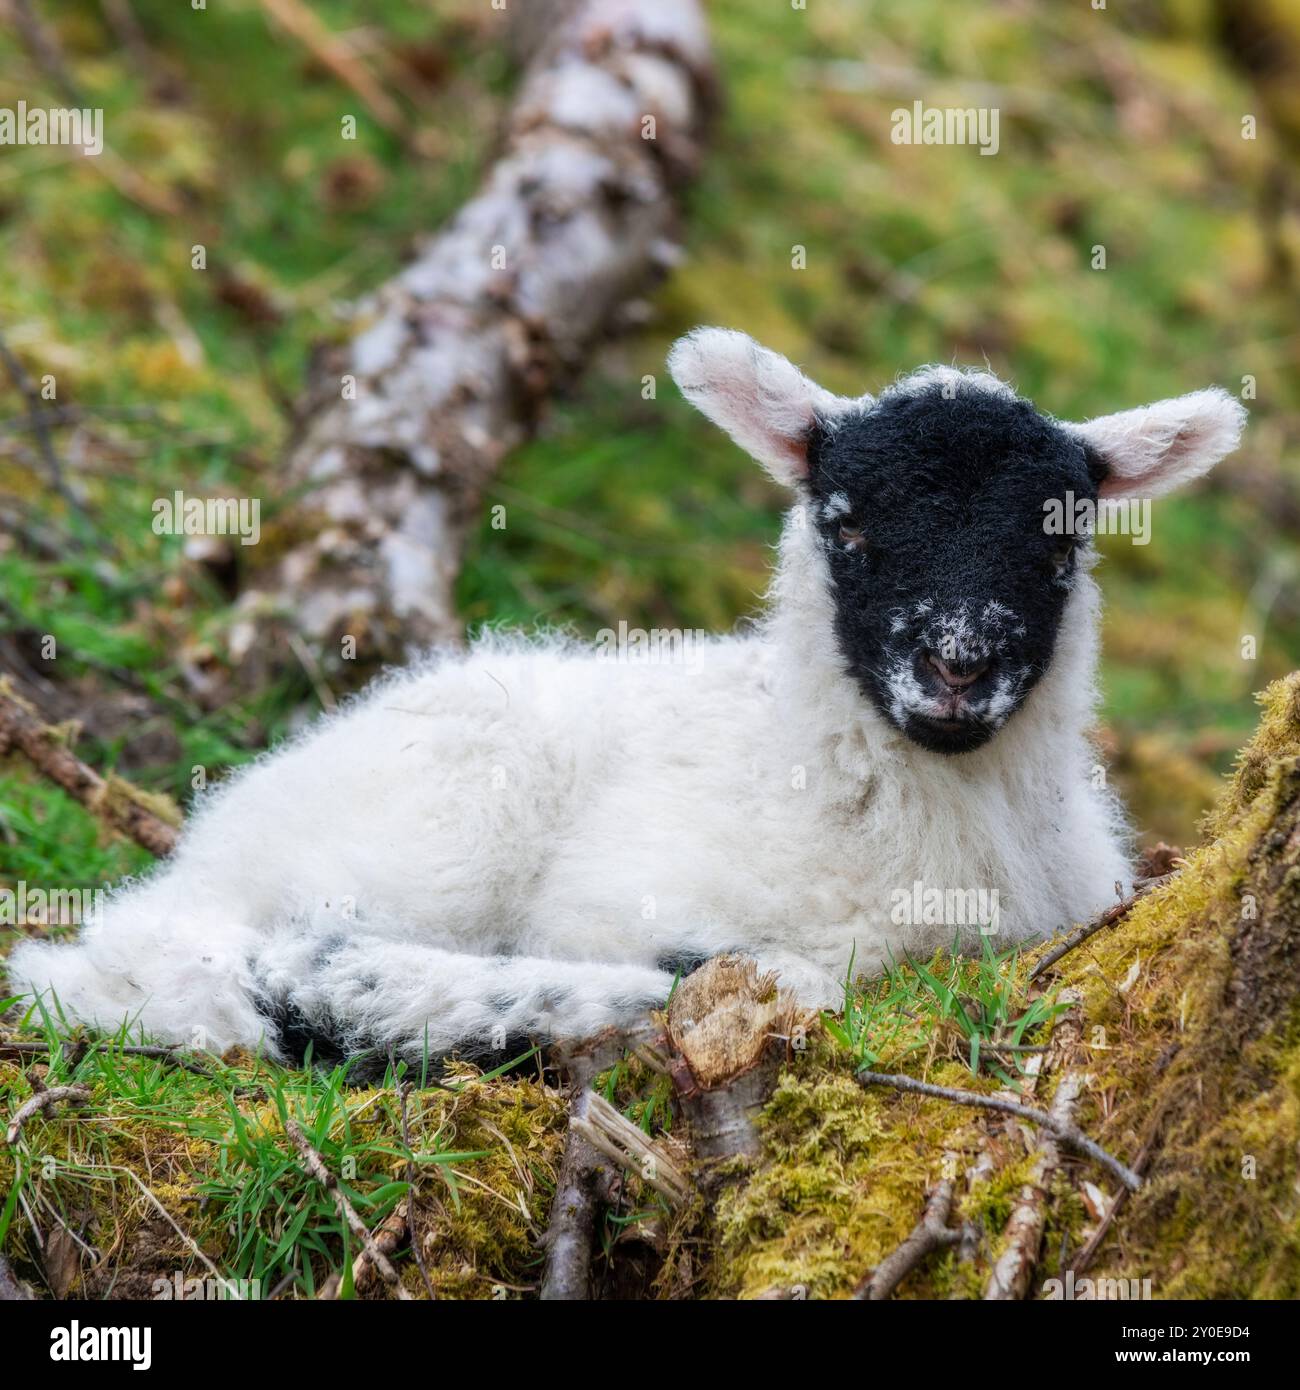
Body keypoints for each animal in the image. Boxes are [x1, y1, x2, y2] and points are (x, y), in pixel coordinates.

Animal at [7, 328, 1247, 1066]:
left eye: (1059, 547)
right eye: (846, 525)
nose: (956, 664)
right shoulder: (618, 897)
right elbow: (787, 973)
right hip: (433, 820)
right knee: (169, 958)